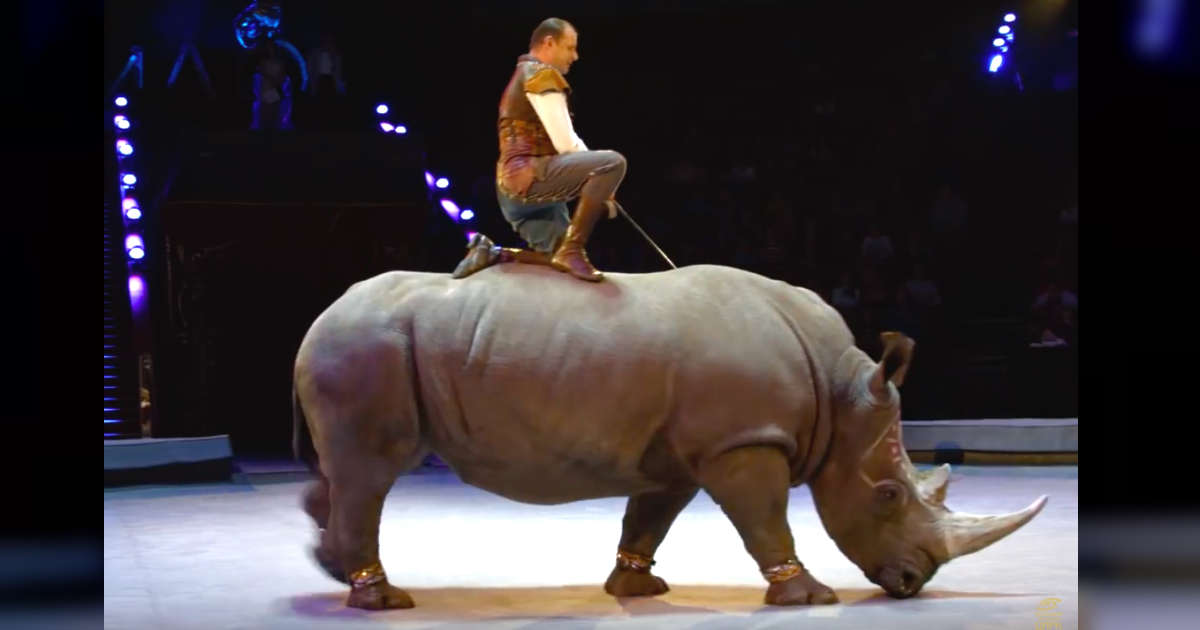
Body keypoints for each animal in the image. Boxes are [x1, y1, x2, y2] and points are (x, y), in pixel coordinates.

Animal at [292, 263, 1047, 610]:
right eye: (888, 495)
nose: (914, 583)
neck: (840, 393)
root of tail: (318, 316)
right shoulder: (744, 441)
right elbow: (768, 520)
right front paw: (809, 598)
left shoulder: (689, 451)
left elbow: (650, 517)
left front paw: (637, 590)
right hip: (363, 347)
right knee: (373, 472)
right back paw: (384, 600)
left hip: (362, 347)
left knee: (344, 469)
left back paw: (334, 570)